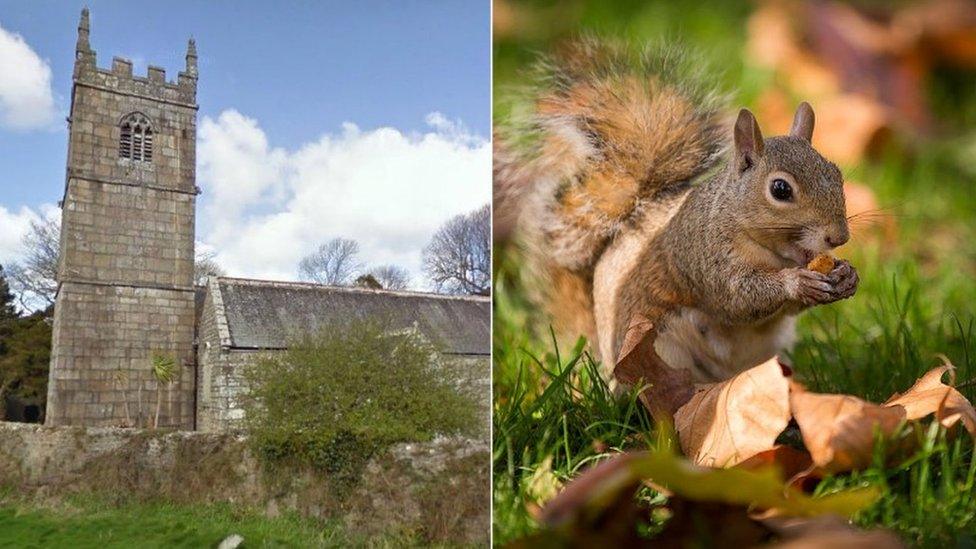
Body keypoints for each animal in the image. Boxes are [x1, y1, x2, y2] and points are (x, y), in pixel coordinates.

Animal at [495, 38, 859, 383]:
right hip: (660, 347)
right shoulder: (704, 256)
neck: (773, 250)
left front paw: (846, 276)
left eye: (836, 174)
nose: (838, 237)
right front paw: (796, 281)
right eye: (780, 189)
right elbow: (738, 297)